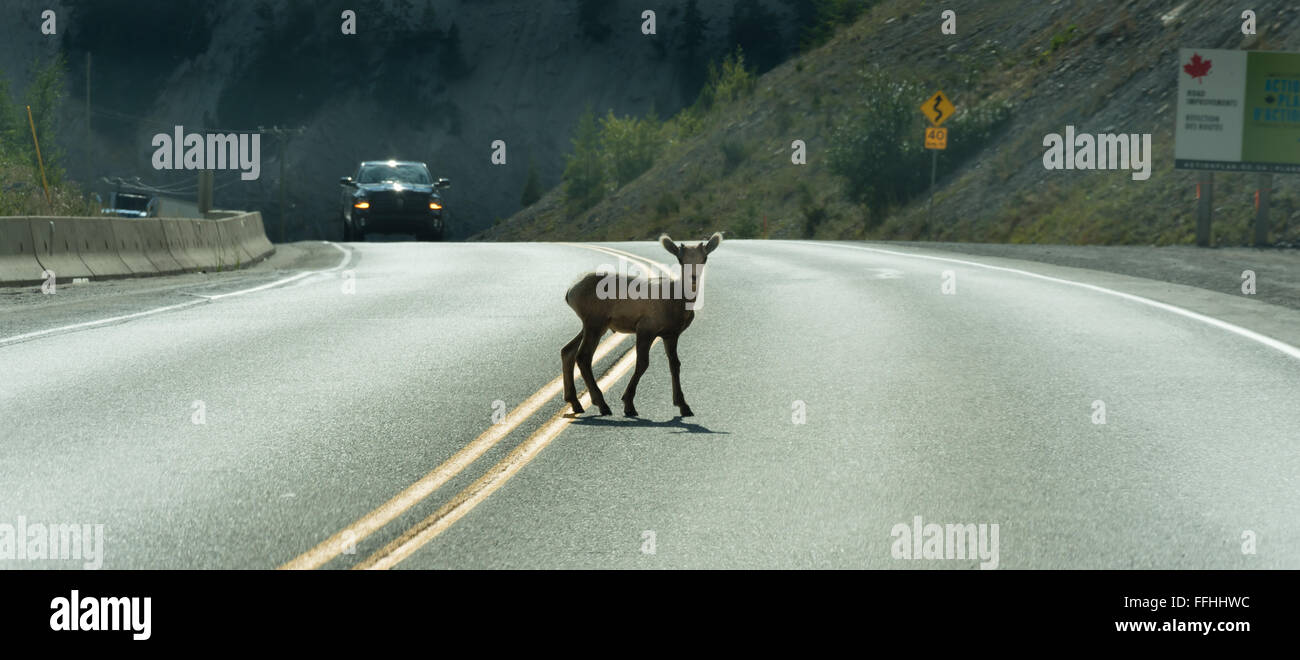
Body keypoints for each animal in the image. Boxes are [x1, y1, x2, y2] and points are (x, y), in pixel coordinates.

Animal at [561, 232, 723, 418]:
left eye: (704, 258)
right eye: (681, 259)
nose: (693, 278)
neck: (677, 300)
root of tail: (570, 292)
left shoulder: (671, 335)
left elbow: (675, 364)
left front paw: (684, 406)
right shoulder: (645, 330)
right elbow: (642, 364)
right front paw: (629, 405)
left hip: (592, 327)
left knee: (567, 351)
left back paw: (575, 403)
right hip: (594, 324)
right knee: (583, 357)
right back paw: (602, 404)